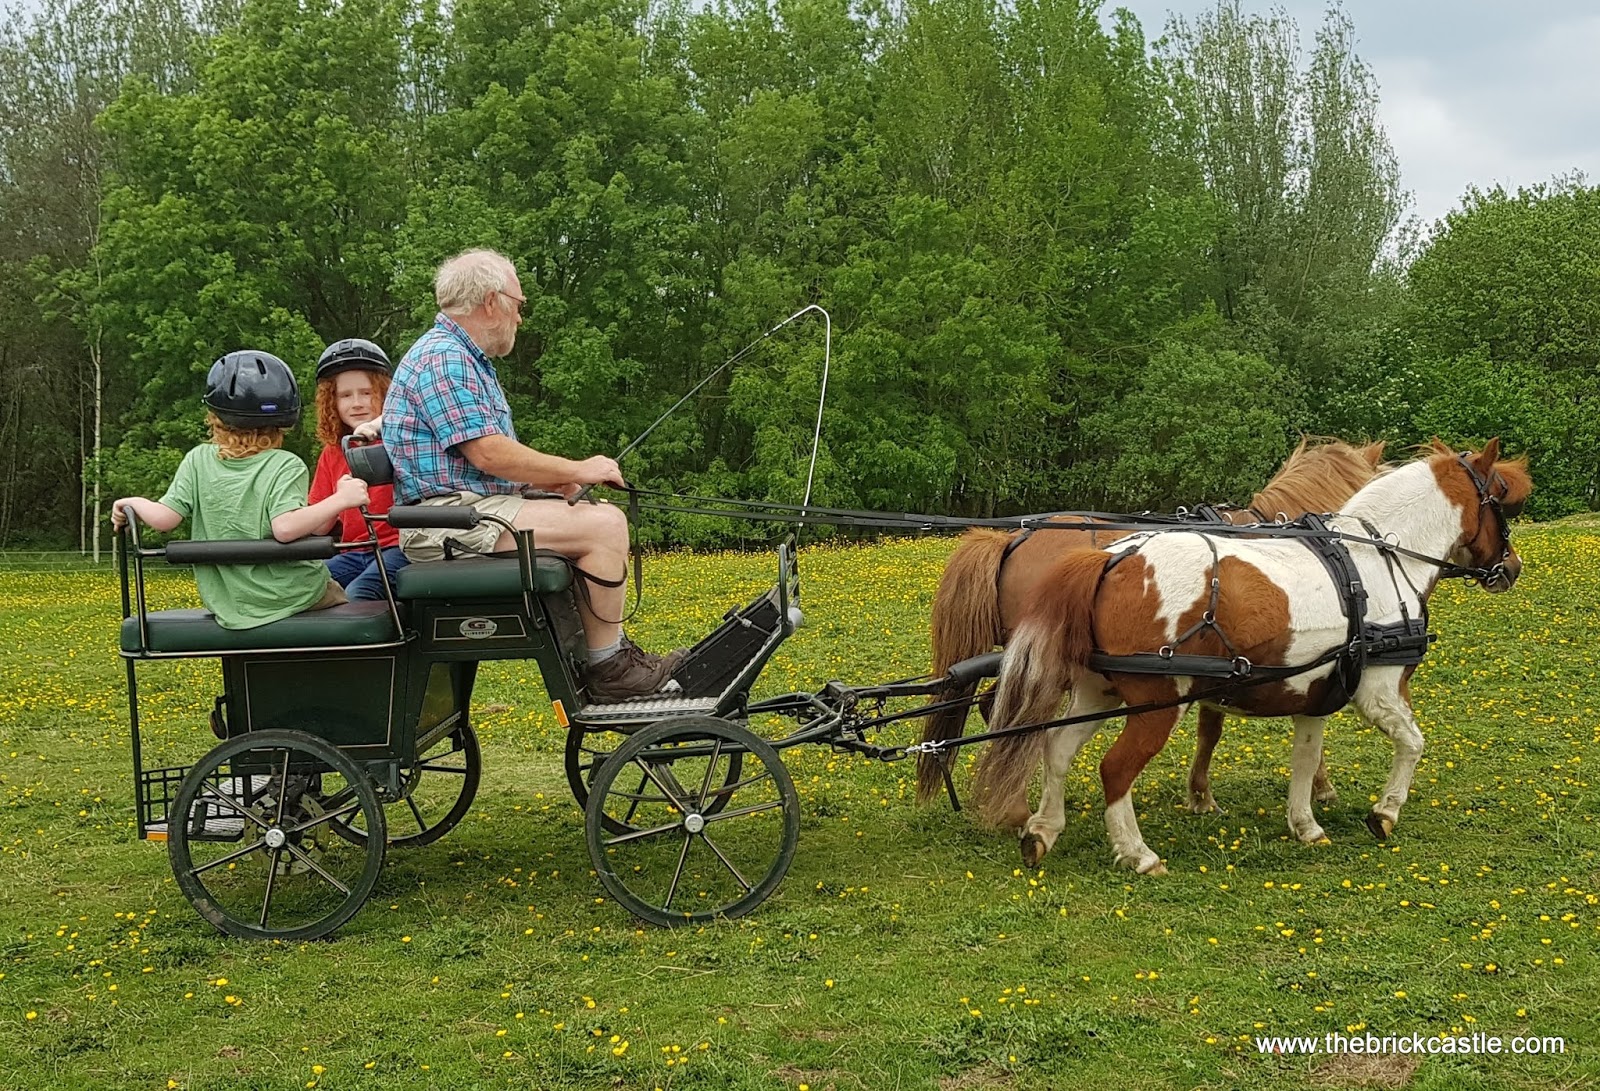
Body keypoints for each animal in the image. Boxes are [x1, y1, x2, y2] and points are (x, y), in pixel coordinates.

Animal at [969, 439, 1530, 874]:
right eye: (1502, 501)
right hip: (1156, 704)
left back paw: (1042, 830)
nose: (1512, 568)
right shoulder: (1380, 691)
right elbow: (1413, 743)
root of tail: (1111, 559)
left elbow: (1305, 758)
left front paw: (1305, 824)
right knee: (1115, 768)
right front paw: (1385, 813)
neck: (1374, 560)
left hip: (1096, 689)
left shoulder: (1314, 696)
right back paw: (1138, 853)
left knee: (1057, 747)